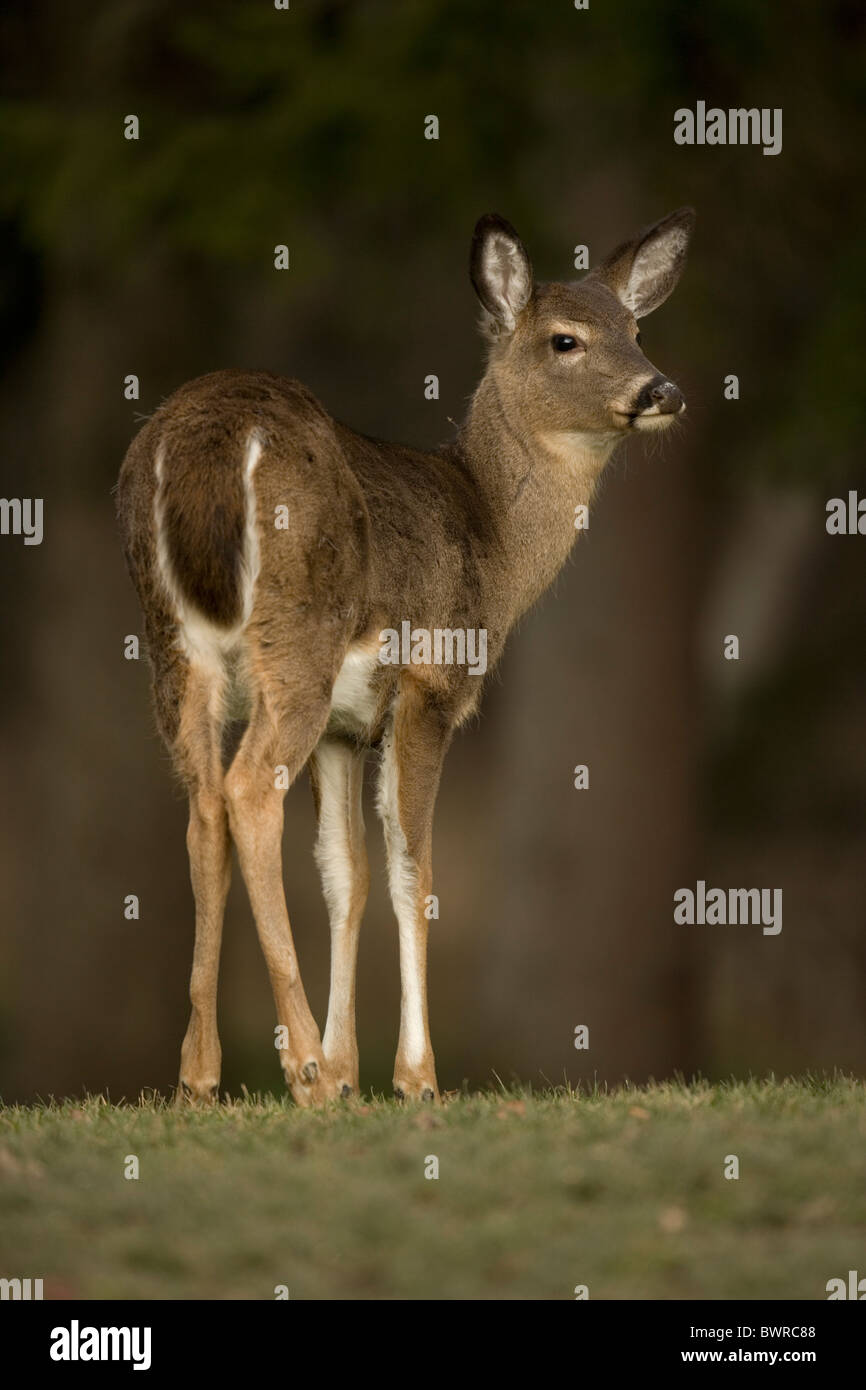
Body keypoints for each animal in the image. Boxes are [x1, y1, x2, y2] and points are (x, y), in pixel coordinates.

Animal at [117, 206, 694, 1108]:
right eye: (565, 339)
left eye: (637, 330)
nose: (660, 390)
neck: (494, 545)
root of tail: (208, 444)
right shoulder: (431, 684)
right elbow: (411, 871)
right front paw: (410, 1075)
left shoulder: (347, 727)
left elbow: (344, 874)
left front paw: (352, 1071)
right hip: (298, 641)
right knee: (246, 792)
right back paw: (300, 1067)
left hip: (174, 648)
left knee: (205, 806)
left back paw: (201, 1075)